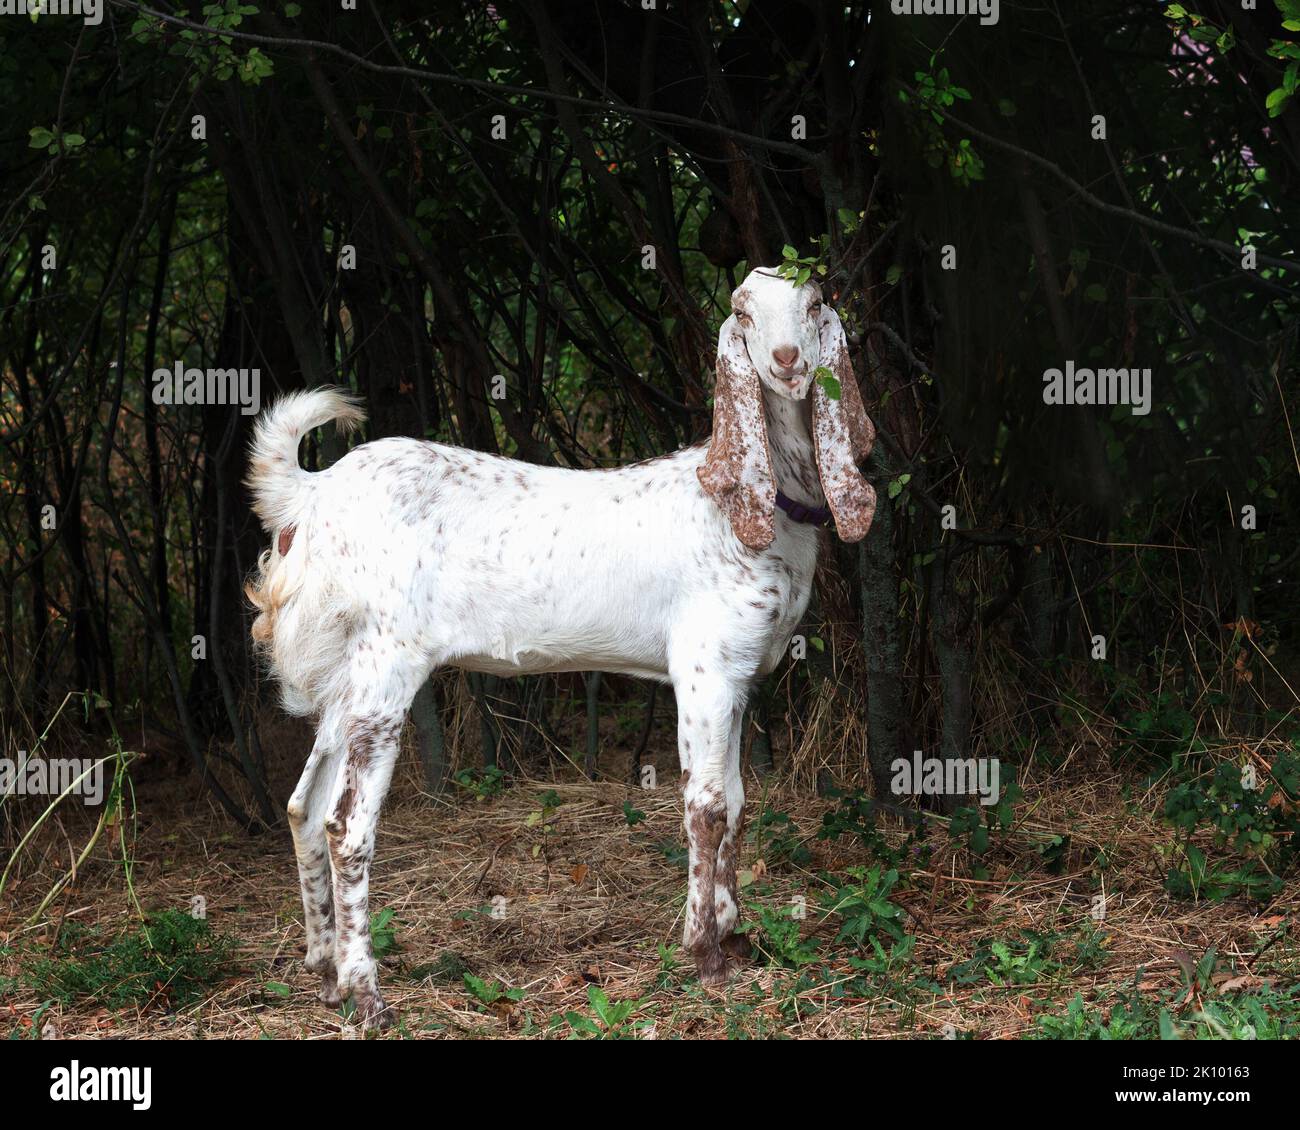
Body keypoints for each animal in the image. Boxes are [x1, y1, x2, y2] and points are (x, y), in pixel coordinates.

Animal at [245, 267, 877, 1028]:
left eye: (815, 303)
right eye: (743, 313)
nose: (786, 360)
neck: (750, 502)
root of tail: (308, 496)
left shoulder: (743, 674)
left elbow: (738, 799)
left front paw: (734, 933)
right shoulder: (704, 665)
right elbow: (706, 806)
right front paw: (705, 956)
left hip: (347, 674)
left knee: (305, 807)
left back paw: (326, 972)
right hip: (385, 665)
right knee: (346, 825)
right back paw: (367, 994)